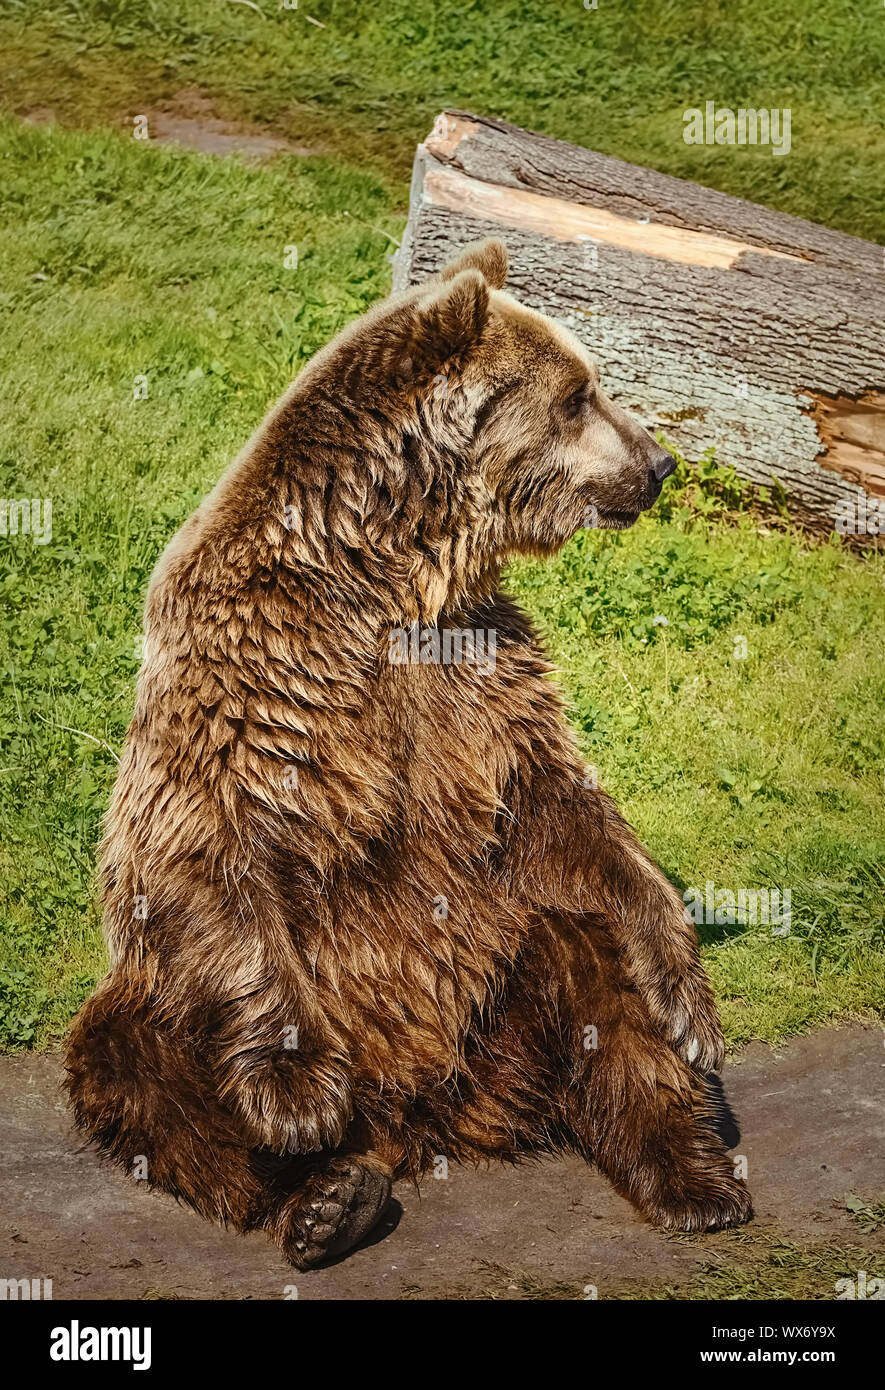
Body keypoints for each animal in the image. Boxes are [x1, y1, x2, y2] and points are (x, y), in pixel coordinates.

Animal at [65, 239, 752, 1269]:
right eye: (576, 396)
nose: (659, 462)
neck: (392, 579)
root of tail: (424, 1120)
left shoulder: (482, 684)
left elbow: (568, 812)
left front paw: (691, 1002)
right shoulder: (254, 674)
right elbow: (205, 842)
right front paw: (298, 1098)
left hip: (505, 965)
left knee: (597, 969)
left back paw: (696, 1177)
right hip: (167, 1004)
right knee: (135, 1060)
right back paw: (325, 1196)